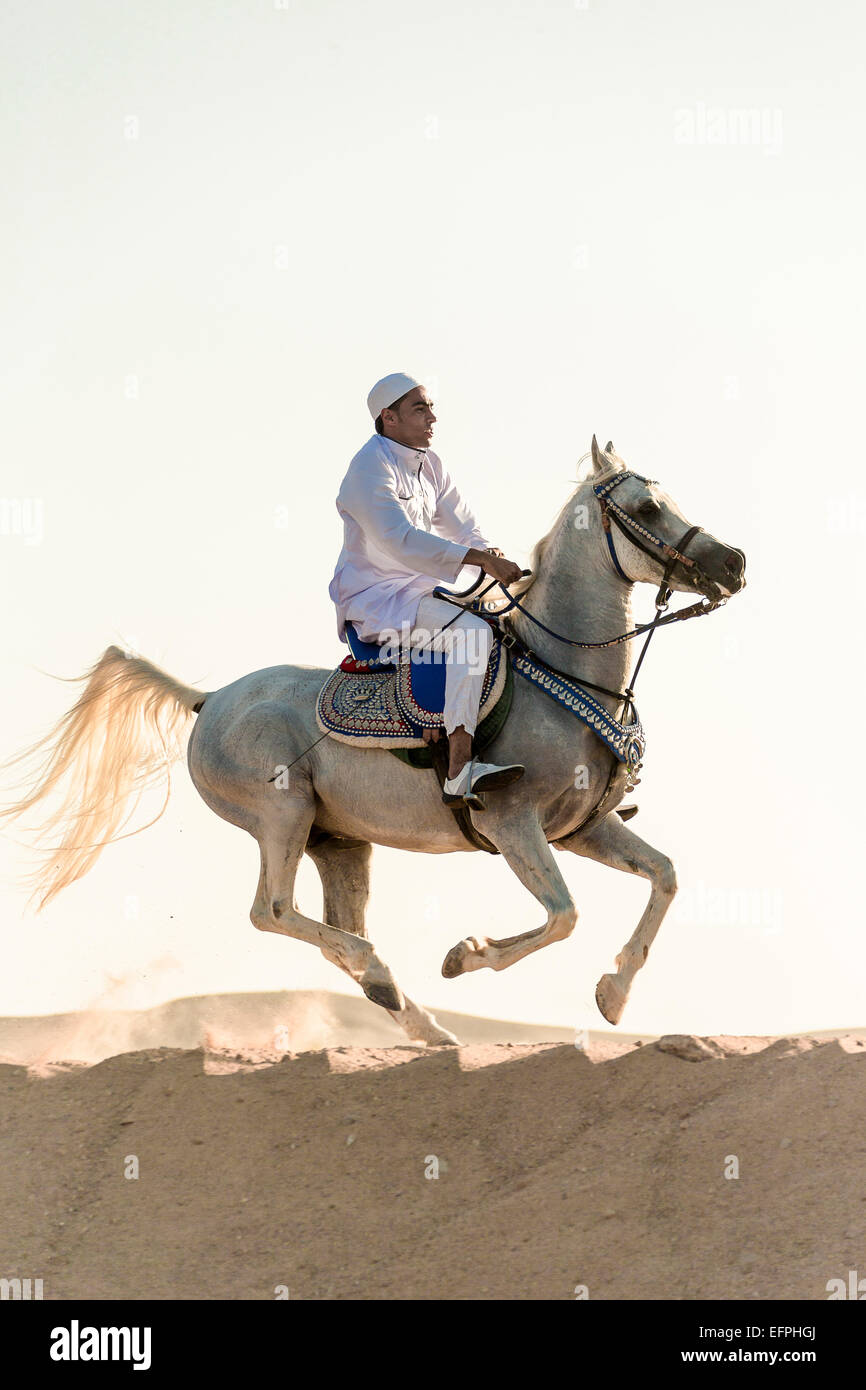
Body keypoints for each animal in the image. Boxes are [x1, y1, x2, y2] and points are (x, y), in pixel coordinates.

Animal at [0, 437, 745, 1046]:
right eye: (648, 507)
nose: (733, 563)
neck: (562, 670)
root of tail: (207, 701)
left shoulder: (581, 828)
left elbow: (664, 875)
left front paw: (614, 993)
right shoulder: (513, 823)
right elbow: (564, 915)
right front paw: (466, 955)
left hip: (339, 842)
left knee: (336, 930)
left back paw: (418, 1020)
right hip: (282, 814)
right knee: (273, 911)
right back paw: (387, 979)